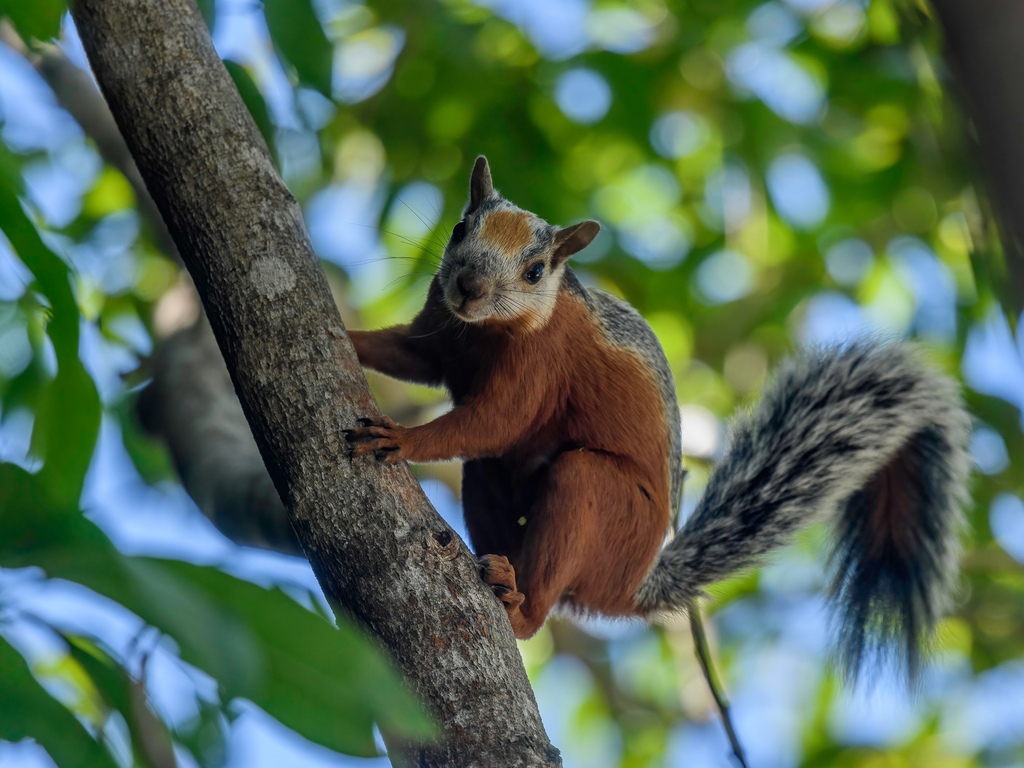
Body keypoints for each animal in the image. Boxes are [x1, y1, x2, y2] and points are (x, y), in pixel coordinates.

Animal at [346, 155, 971, 677]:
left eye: (535, 271)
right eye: (459, 228)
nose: (469, 287)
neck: (484, 329)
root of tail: (631, 589)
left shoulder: (541, 364)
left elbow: (495, 421)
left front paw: (403, 439)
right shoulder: (439, 329)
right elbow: (411, 355)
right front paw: (350, 338)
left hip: (609, 507)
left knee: (556, 550)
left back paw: (519, 601)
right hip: (497, 484)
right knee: (489, 479)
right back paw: (500, 567)